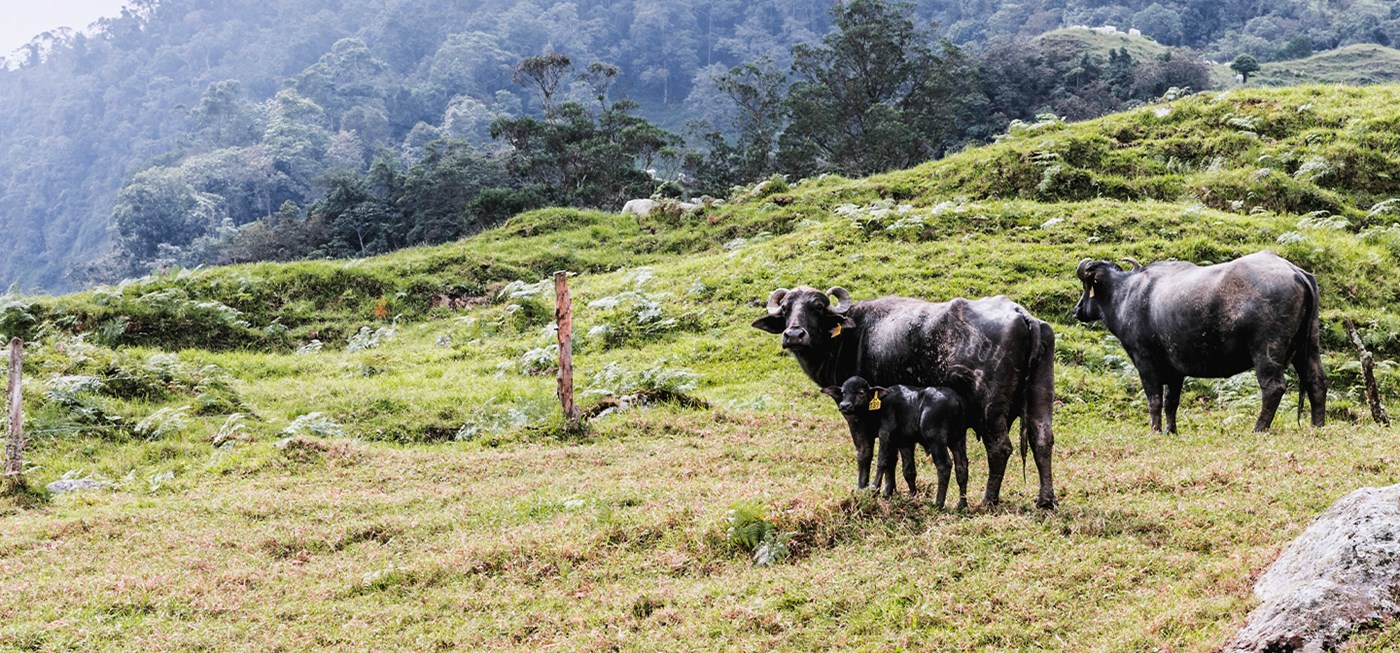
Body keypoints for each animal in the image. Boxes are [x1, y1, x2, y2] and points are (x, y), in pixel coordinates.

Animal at [753, 286, 1057, 509]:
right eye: (786, 308)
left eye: (816, 307)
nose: (794, 334)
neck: (849, 338)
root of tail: (1021, 314)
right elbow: (895, 458)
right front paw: (891, 490)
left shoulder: (857, 416)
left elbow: (866, 452)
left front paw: (864, 489)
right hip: (1041, 394)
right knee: (1042, 440)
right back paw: (1045, 500)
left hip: (991, 409)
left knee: (1000, 448)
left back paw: (987, 500)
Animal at [1073, 251, 1325, 433]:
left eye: (1086, 286)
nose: (1077, 310)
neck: (1125, 294)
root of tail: (1295, 272)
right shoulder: (1175, 371)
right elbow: (1171, 402)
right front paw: (1170, 431)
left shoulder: (1145, 362)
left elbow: (1154, 400)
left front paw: (1155, 431)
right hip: (1308, 346)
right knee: (1316, 381)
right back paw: (1317, 425)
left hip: (1266, 351)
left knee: (1273, 387)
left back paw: (1258, 428)